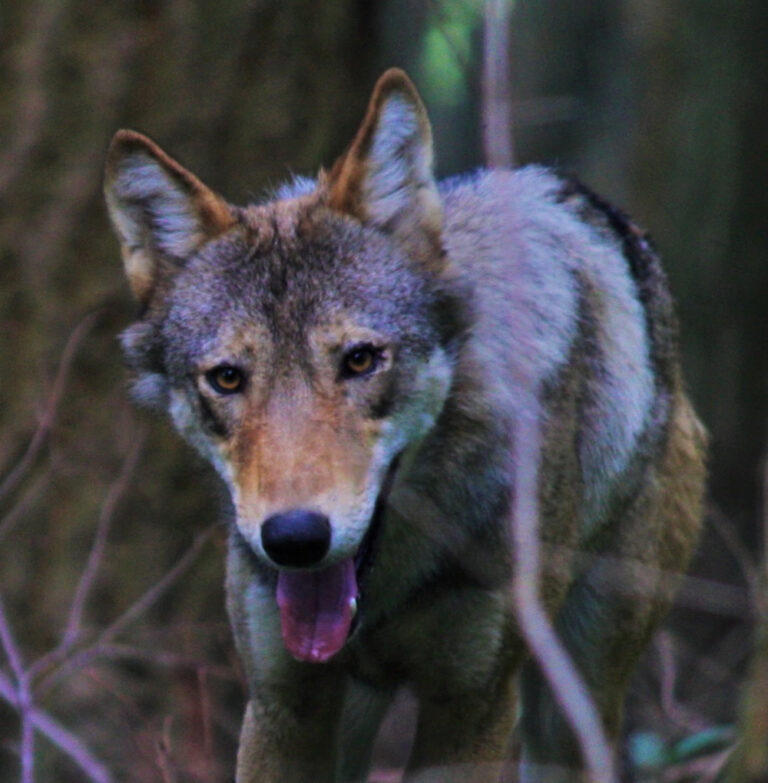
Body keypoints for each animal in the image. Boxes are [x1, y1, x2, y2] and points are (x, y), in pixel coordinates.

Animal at [104, 69, 706, 782]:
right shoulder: (283, 705)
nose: (295, 538)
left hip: (571, 709)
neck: (390, 583)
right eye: (226, 378)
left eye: (361, 360)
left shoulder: (474, 708)